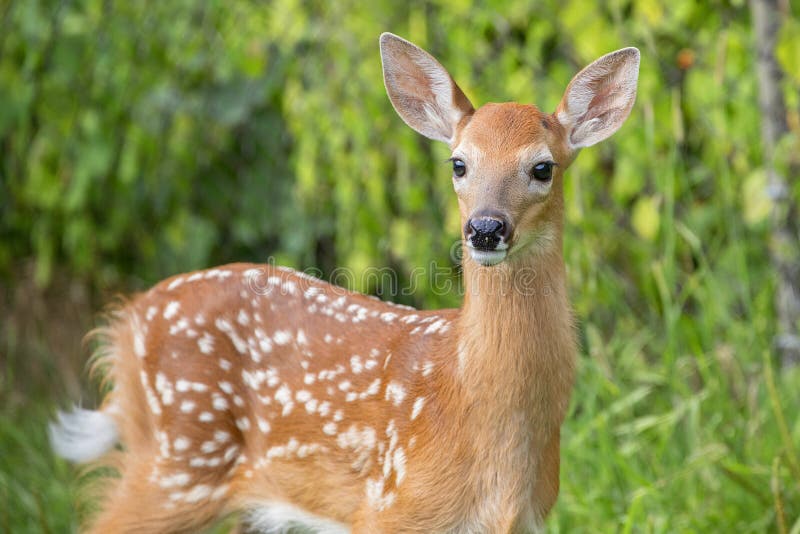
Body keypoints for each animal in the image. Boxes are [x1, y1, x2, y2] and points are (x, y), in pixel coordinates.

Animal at [50, 33, 639, 533]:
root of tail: (126, 322)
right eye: (458, 164)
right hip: (179, 457)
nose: (486, 228)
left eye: (543, 168)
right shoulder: (388, 507)